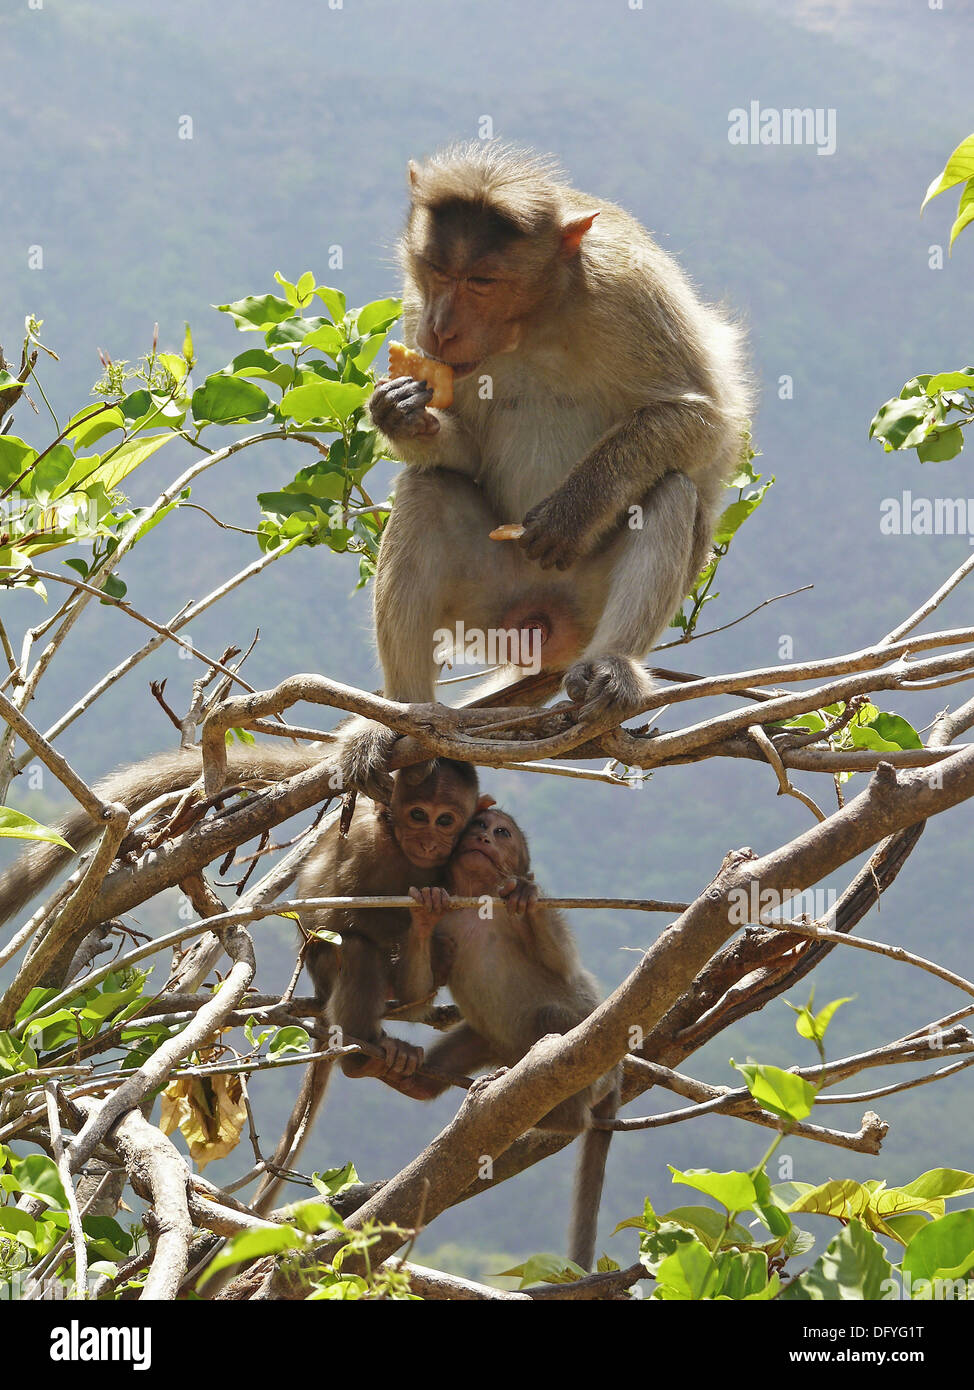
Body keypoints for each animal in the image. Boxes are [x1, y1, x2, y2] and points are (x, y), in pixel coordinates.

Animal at [339, 140, 752, 796]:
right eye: (437, 272)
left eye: (481, 281)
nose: (440, 327)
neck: (535, 319)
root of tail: (542, 626)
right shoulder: (413, 304)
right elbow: (462, 453)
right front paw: (401, 414)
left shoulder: (631, 291)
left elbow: (699, 416)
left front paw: (572, 511)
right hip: (489, 606)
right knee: (429, 491)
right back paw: (402, 720)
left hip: (583, 604)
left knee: (669, 490)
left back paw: (612, 673)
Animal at [396, 806, 621, 1271]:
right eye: (477, 825)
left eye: (501, 833)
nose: (482, 837)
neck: (477, 903)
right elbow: (414, 999)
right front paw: (426, 911)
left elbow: (563, 965)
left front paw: (527, 894)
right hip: (493, 1044)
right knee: (462, 1049)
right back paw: (412, 1076)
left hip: (595, 1067)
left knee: (552, 1017)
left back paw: (561, 1117)